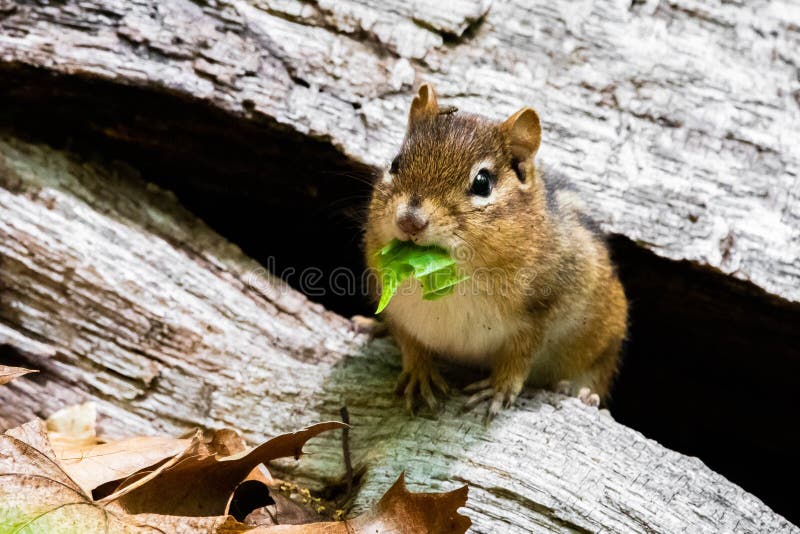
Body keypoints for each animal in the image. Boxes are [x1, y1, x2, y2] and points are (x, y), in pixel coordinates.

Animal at [363, 83, 628, 420]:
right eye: (396, 164)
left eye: (482, 183)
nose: (409, 221)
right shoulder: (395, 308)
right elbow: (410, 342)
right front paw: (419, 373)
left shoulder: (546, 308)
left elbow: (521, 354)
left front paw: (499, 389)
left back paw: (583, 394)